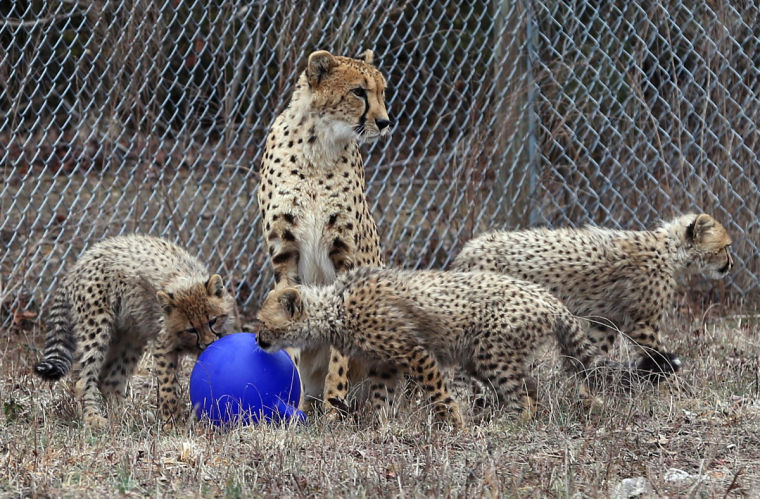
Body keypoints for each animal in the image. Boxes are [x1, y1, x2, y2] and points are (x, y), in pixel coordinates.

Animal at [34, 234, 236, 428]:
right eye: (191, 329)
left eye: (212, 321)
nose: (208, 343)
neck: (186, 281)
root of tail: (80, 262)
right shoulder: (163, 346)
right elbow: (168, 386)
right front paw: (172, 423)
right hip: (96, 326)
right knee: (83, 377)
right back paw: (93, 418)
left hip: (130, 335)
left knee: (110, 379)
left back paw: (124, 417)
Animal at [255, 267, 612, 428]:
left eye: (260, 322)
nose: (257, 340)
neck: (336, 307)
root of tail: (547, 297)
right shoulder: (386, 364)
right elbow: (381, 397)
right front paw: (379, 426)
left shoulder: (416, 353)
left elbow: (439, 393)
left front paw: (454, 425)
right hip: (485, 357)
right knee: (531, 386)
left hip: (490, 352)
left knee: (520, 392)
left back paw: (508, 424)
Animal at [256, 49, 392, 415]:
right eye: (359, 91)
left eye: (382, 91)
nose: (385, 122)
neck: (318, 146)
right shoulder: (285, 255)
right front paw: (292, 405)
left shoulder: (347, 260)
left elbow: (340, 352)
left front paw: (333, 406)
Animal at [451, 213, 733, 382]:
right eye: (726, 247)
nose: (731, 264)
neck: (669, 250)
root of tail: (469, 249)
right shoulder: (642, 323)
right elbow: (657, 352)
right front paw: (674, 387)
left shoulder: (606, 320)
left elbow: (591, 350)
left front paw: (583, 380)